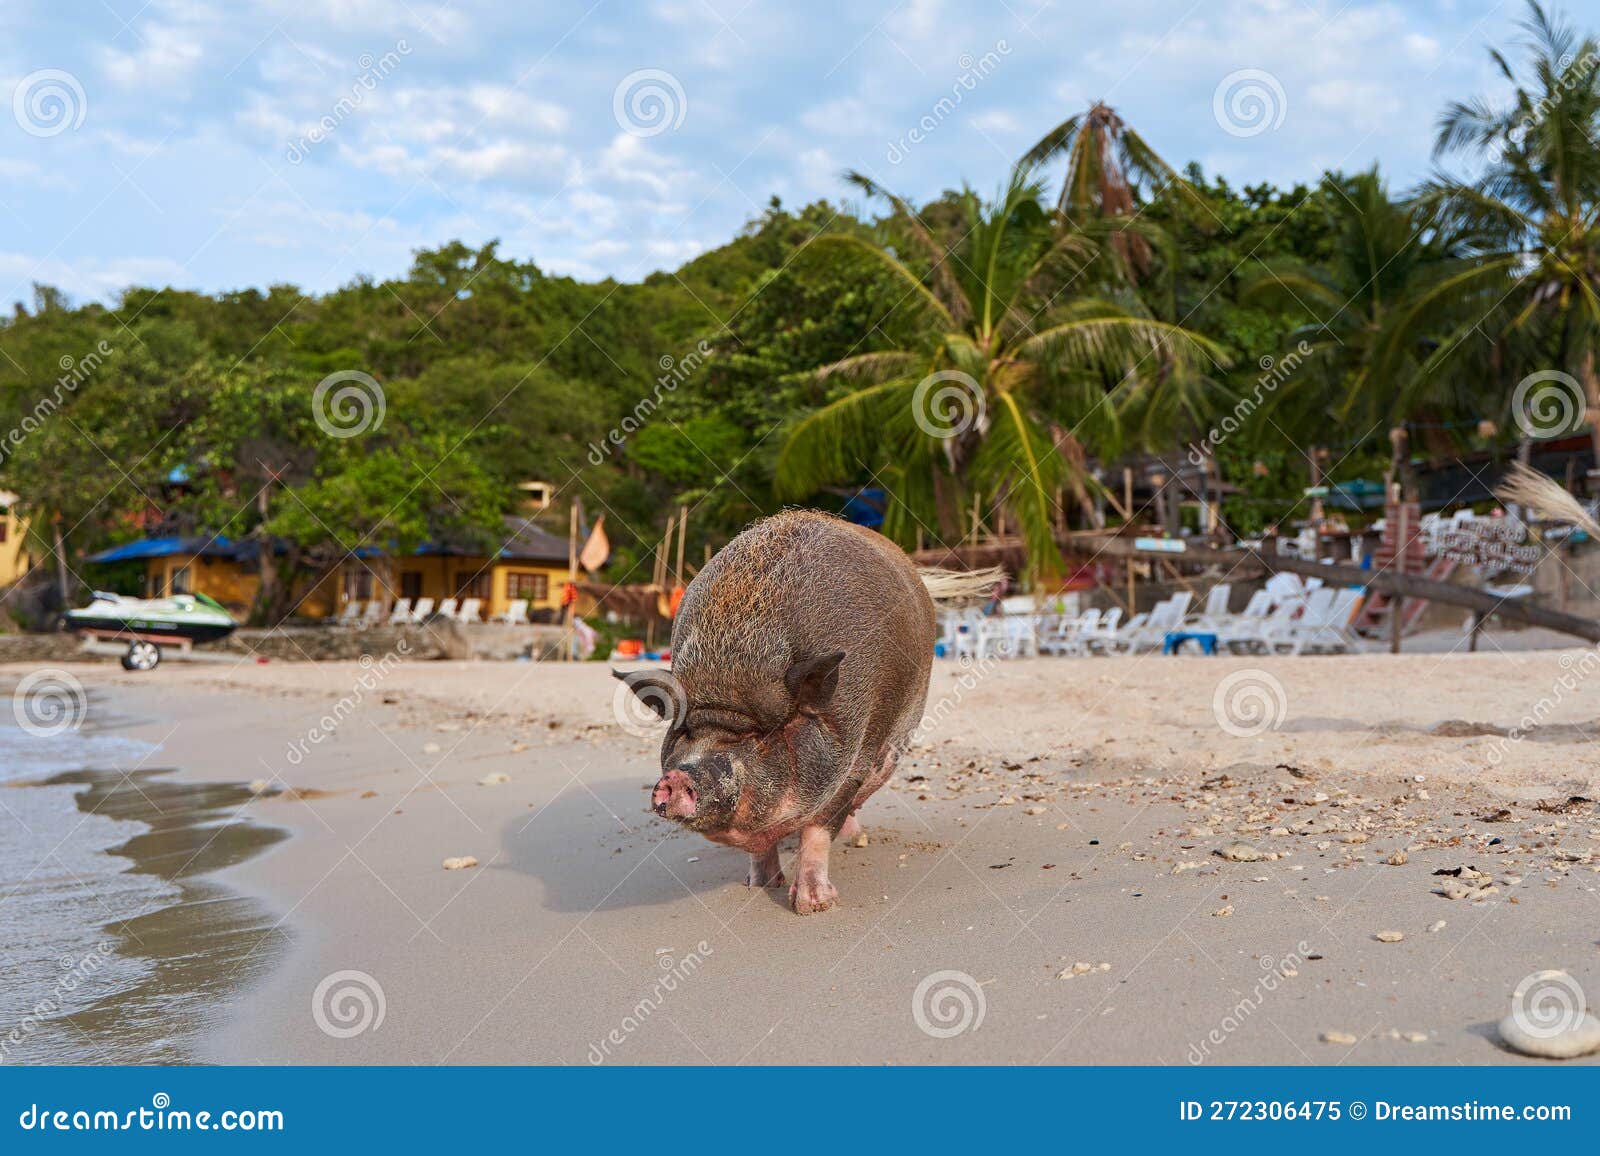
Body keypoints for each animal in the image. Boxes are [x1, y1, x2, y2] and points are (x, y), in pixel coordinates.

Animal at [615, 510, 998, 914]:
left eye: (762, 735)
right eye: (684, 730)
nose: (678, 776)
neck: (732, 665)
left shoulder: (851, 762)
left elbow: (820, 827)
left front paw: (813, 906)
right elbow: (761, 842)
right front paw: (758, 884)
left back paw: (853, 838)